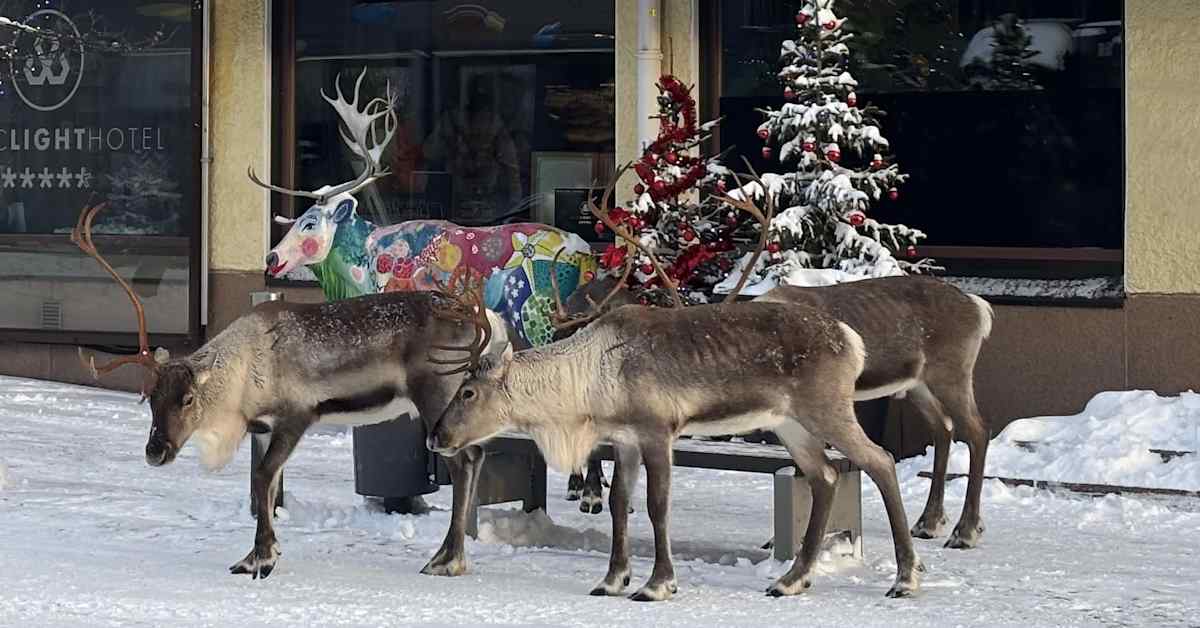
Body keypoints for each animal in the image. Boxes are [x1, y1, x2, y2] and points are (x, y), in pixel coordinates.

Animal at [425, 167, 925, 601]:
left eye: (468, 391)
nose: (435, 437)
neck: (587, 383)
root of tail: (851, 339)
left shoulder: (657, 429)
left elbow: (656, 504)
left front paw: (657, 584)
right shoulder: (623, 438)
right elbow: (618, 502)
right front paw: (612, 579)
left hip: (825, 407)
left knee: (879, 460)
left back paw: (905, 577)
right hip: (789, 423)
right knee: (824, 476)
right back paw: (791, 579)